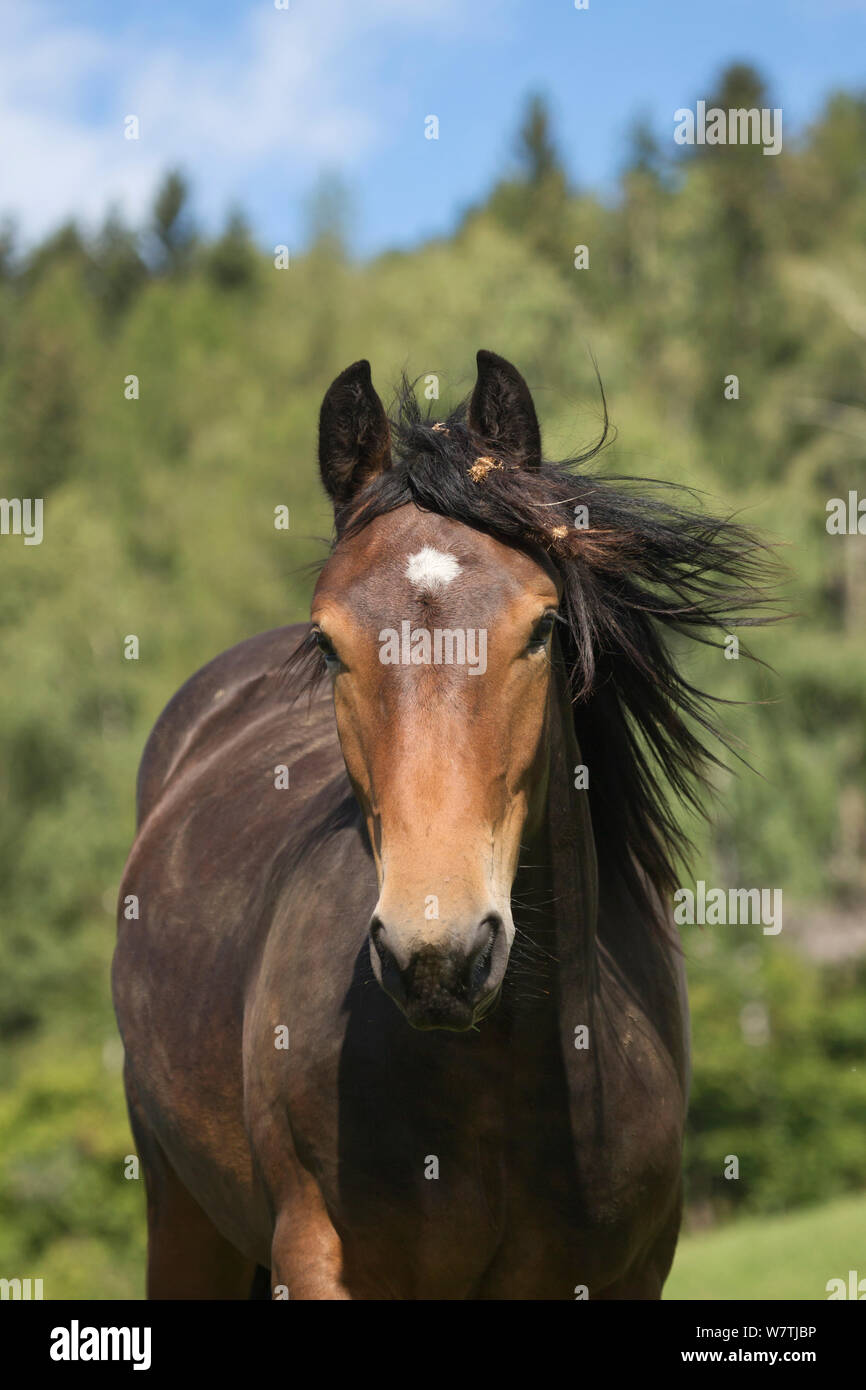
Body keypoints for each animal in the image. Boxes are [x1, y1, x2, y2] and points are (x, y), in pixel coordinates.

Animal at [113, 350, 772, 1299]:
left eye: (543, 626)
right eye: (327, 643)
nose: (439, 956)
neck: (503, 1084)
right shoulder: (316, 1260)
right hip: (182, 1218)